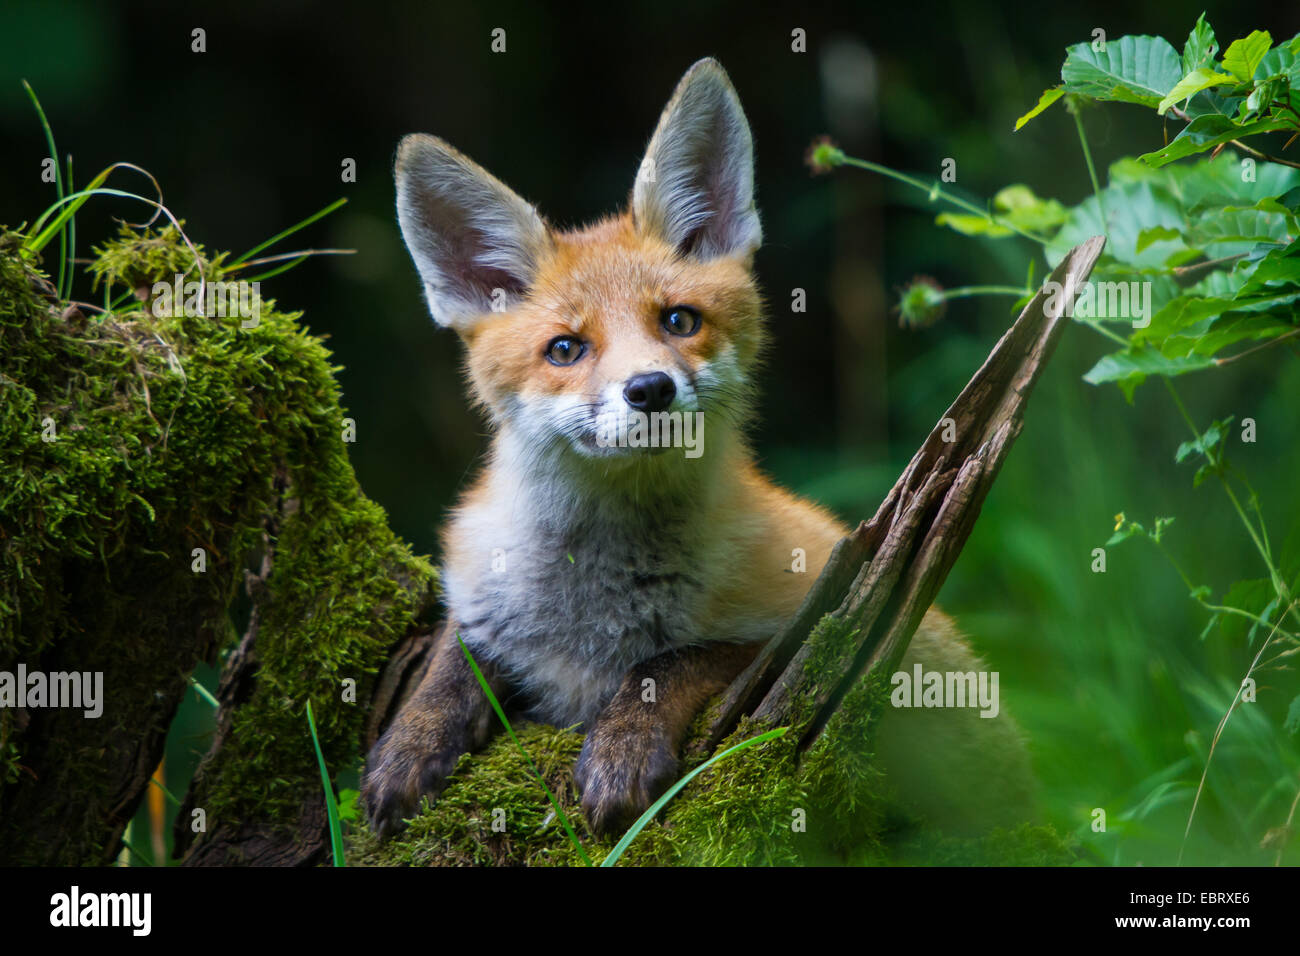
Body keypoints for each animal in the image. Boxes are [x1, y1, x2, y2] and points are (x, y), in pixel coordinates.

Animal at [362, 58, 1035, 842]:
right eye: (565, 349)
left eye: (679, 321)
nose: (650, 388)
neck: (592, 605)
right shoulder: (478, 595)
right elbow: (453, 660)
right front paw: (410, 745)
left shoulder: (817, 626)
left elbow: (679, 658)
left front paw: (622, 746)